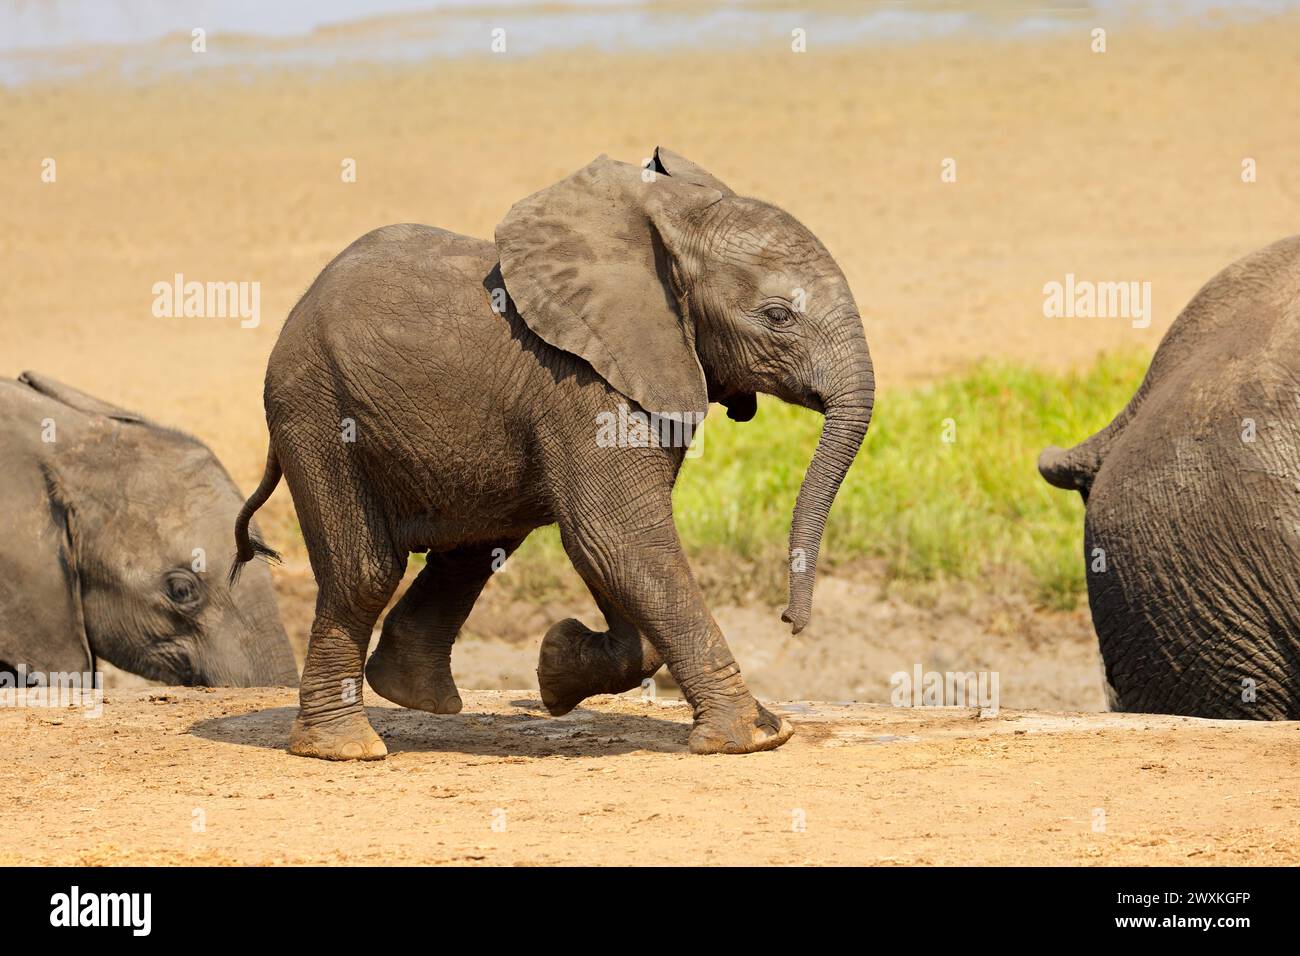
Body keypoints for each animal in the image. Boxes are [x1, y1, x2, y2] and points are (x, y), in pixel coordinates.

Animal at [230, 147, 875, 760]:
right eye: (778, 316)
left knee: (474, 545)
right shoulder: (584, 381)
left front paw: (555, 670)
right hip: (314, 406)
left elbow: (614, 549)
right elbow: (616, 536)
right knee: (365, 571)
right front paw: (758, 737)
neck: (668, 223)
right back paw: (346, 748)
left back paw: (416, 697)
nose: (790, 622)